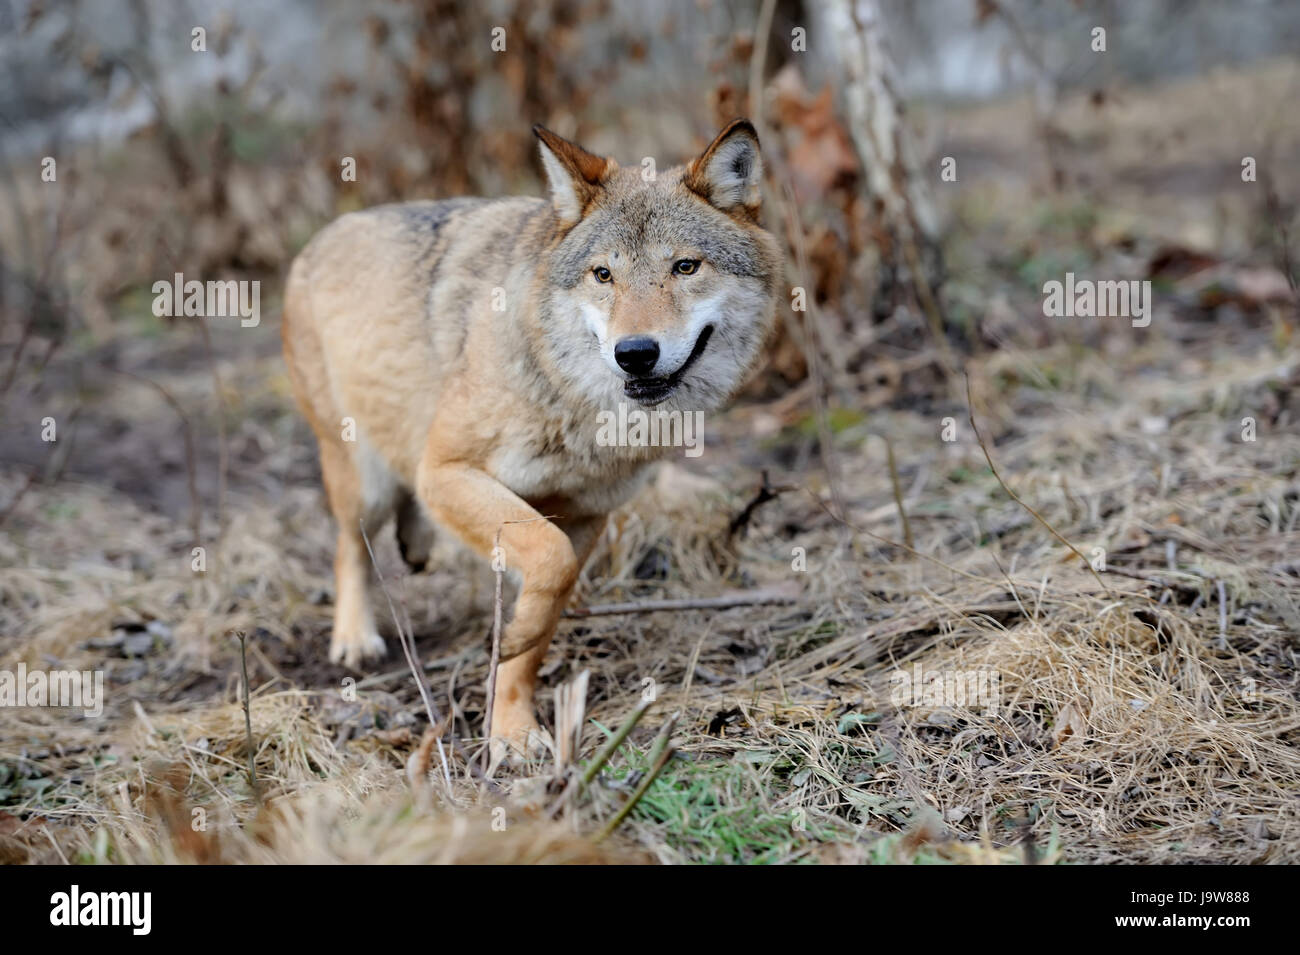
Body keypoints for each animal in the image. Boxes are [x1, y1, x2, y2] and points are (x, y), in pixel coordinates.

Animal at [282, 120, 783, 757]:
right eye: (603, 275)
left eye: (686, 268)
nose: (635, 353)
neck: (576, 405)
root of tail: (320, 238)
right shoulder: (447, 472)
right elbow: (548, 559)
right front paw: (510, 661)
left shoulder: (587, 516)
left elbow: (548, 600)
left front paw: (513, 725)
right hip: (360, 477)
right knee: (352, 544)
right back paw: (354, 638)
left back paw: (417, 547)